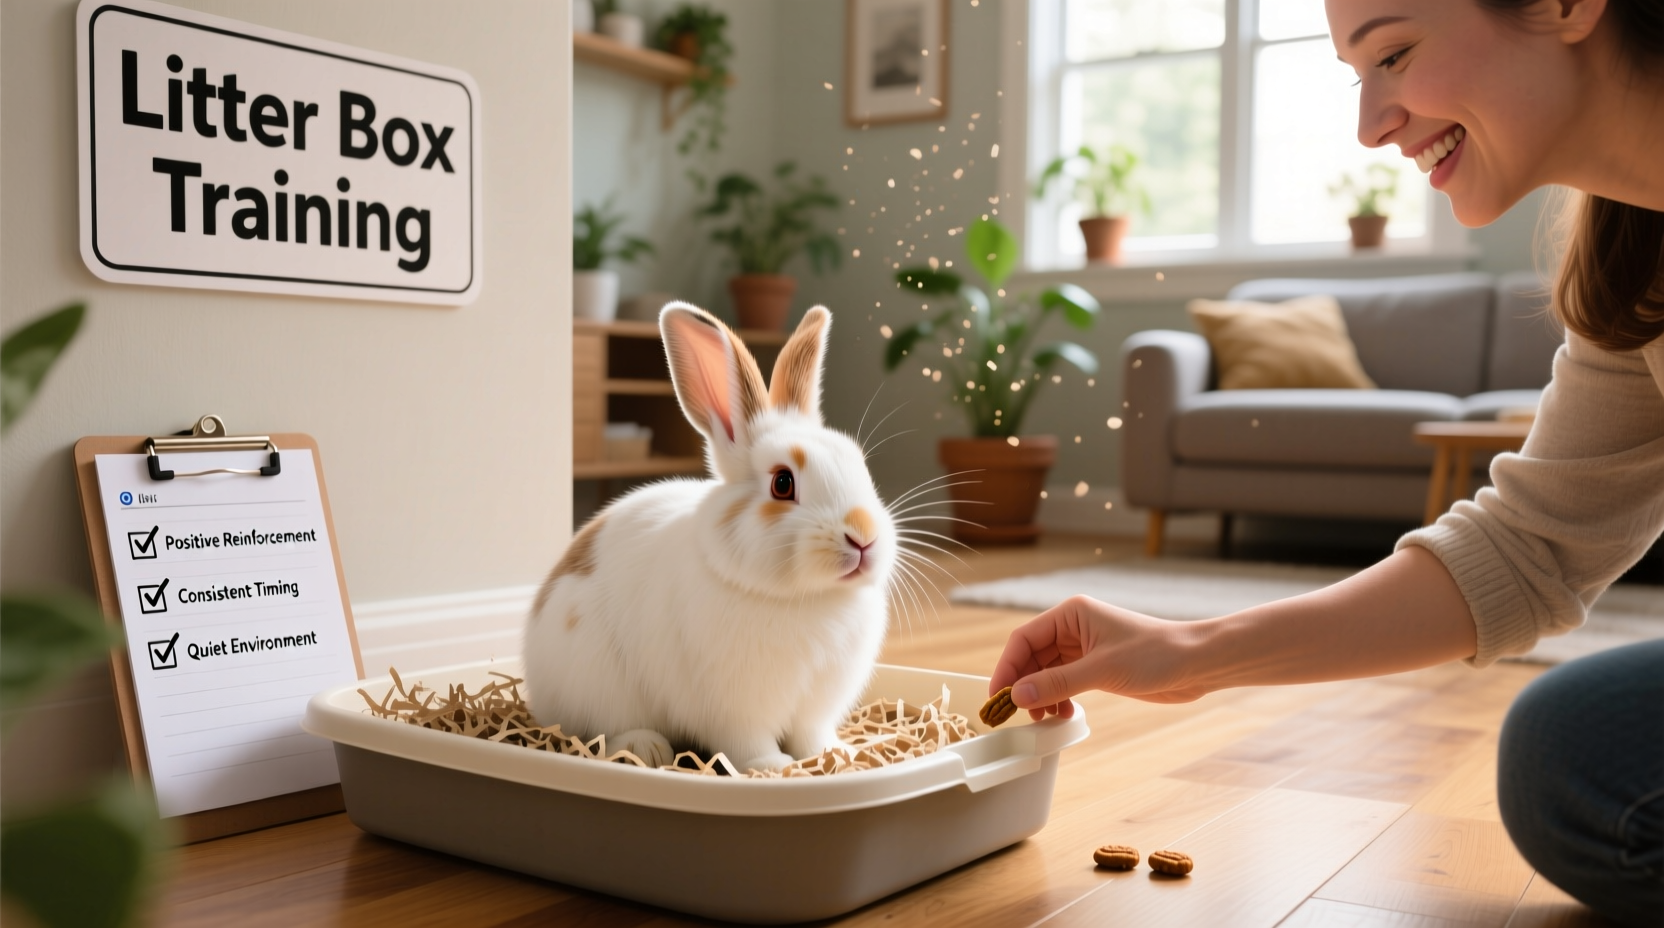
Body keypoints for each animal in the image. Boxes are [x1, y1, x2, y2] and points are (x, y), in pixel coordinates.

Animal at [522, 302, 897, 772]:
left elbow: (812, 735)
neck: (807, 600)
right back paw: (646, 748)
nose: (863, 537)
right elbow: (748, 743)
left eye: (859, 464)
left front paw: (834, 755)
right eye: (782, 483)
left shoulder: (816, 706)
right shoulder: (737, 708)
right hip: (597, 686)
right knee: (604, 730)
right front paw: (773, 767)